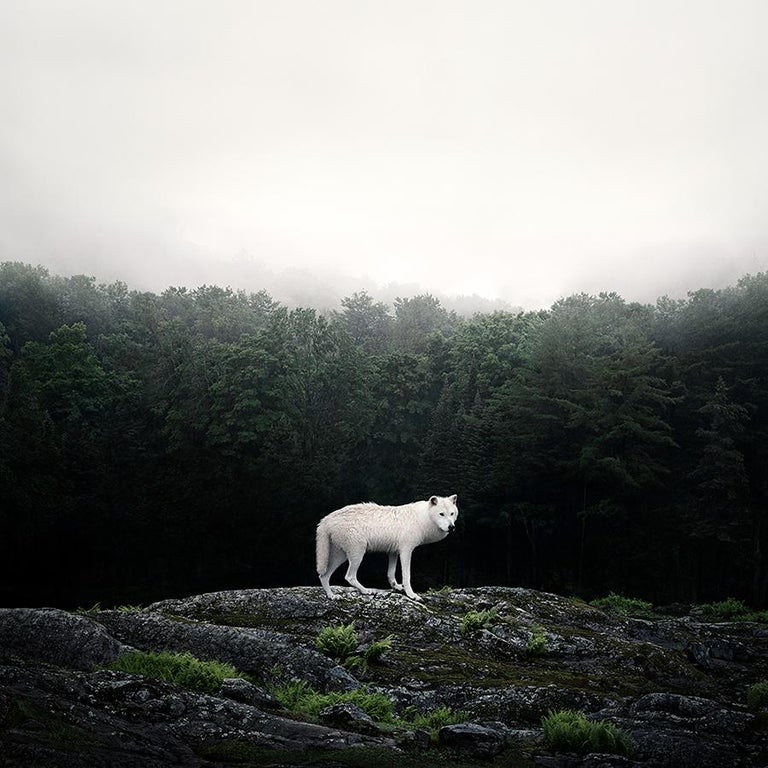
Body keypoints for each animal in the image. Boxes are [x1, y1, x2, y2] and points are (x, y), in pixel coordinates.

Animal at [316, 494, 458, 601]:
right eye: (441, 514)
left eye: (452, 514)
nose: (451, 527)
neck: (421, 519)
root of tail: (325, 519)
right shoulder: (406, 551)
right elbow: (406, 576)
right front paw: (412, 595)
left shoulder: (393, 552)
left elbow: (390, 574)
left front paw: (397, 587)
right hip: (357, 554)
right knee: (349, 577)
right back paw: (366, 591)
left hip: (342, 556)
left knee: (323, 576)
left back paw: (331, 596)